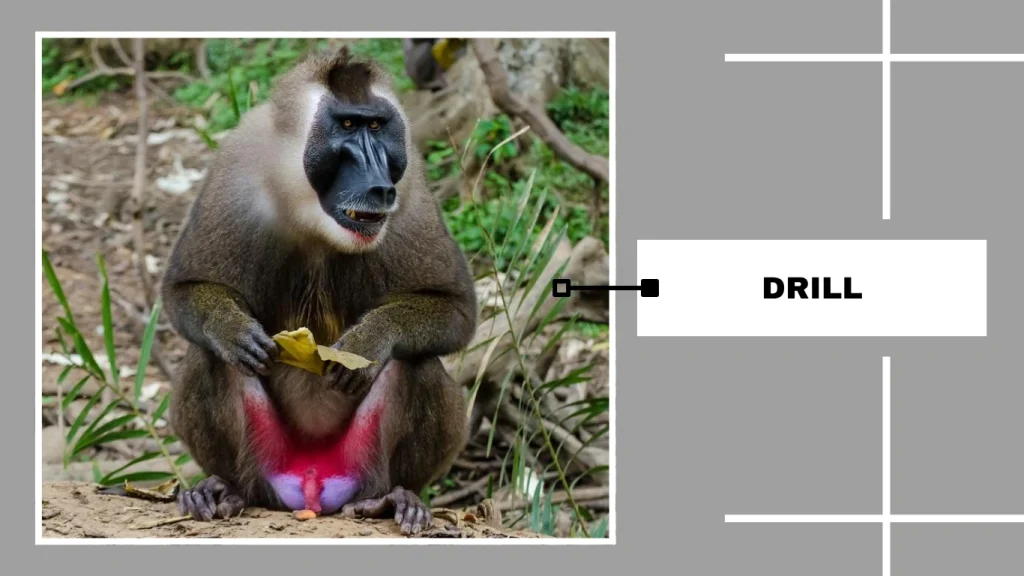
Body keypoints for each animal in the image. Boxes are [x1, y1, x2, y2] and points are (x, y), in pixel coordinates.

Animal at [161, 46, 478, 535]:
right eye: (346, 126)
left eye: (376, 127)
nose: (378, 183)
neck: (310, 214)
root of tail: (311, 481)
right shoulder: (236, 167)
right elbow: (185, 288)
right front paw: (232, 329)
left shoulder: (412, 192)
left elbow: (455, 308)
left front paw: (370, 342)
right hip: (267, 458)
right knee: (207, 357)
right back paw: (224, 491)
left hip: (360, 463)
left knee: (418, 364)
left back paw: (395, 499)